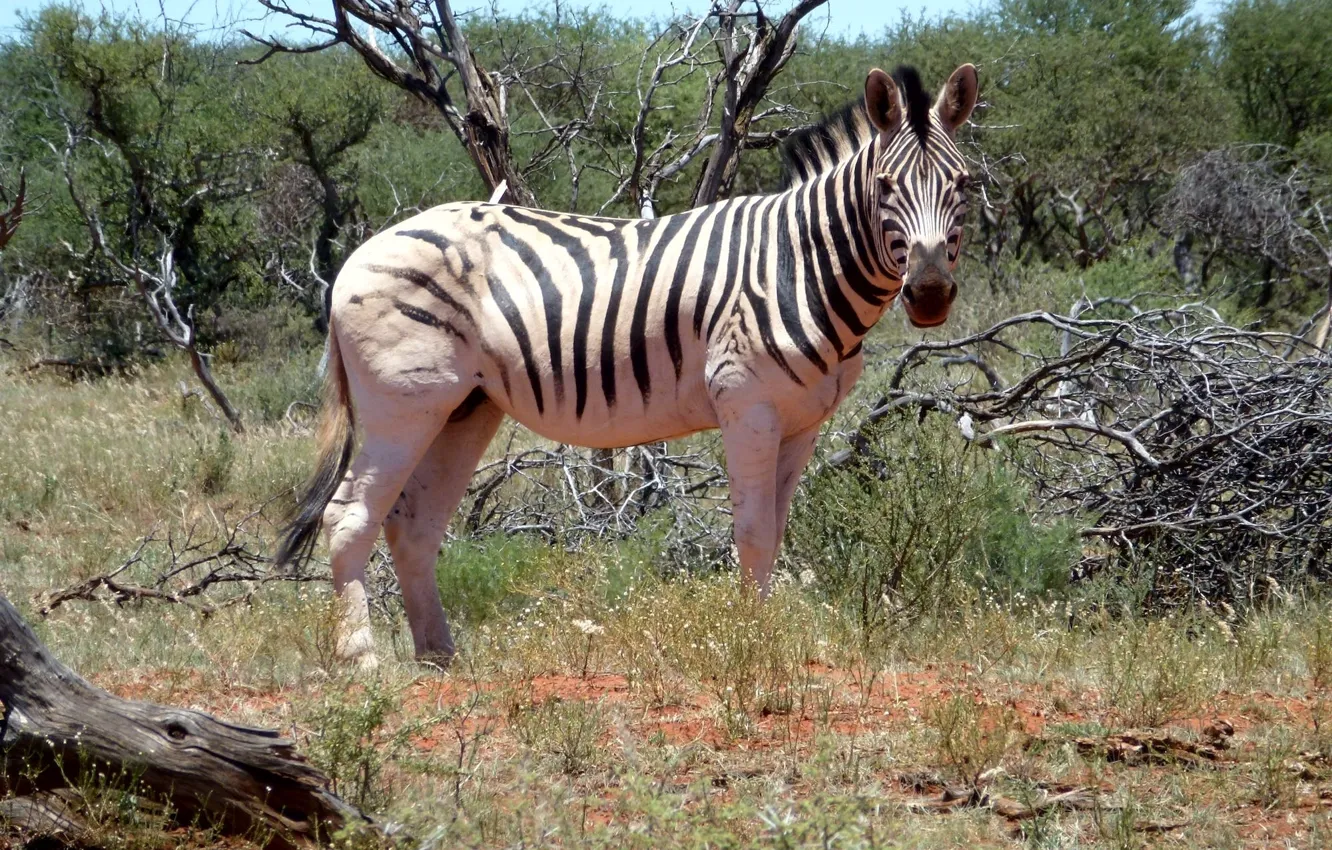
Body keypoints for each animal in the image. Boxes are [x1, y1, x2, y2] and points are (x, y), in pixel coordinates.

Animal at [277, 63, 979, 667]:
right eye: (885, 187)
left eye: (964, 184)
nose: (930, 293)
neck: (798, 262)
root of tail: (359, 255)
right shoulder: (746, 404)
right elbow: (752, 531)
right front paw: (754, 643)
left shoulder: (803, 421)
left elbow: (776, 532)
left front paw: (769, 632)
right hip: (401, 406)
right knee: (348, 515)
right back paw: (362, 659)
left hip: (463, 407)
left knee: (414, 524)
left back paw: (439, 656)